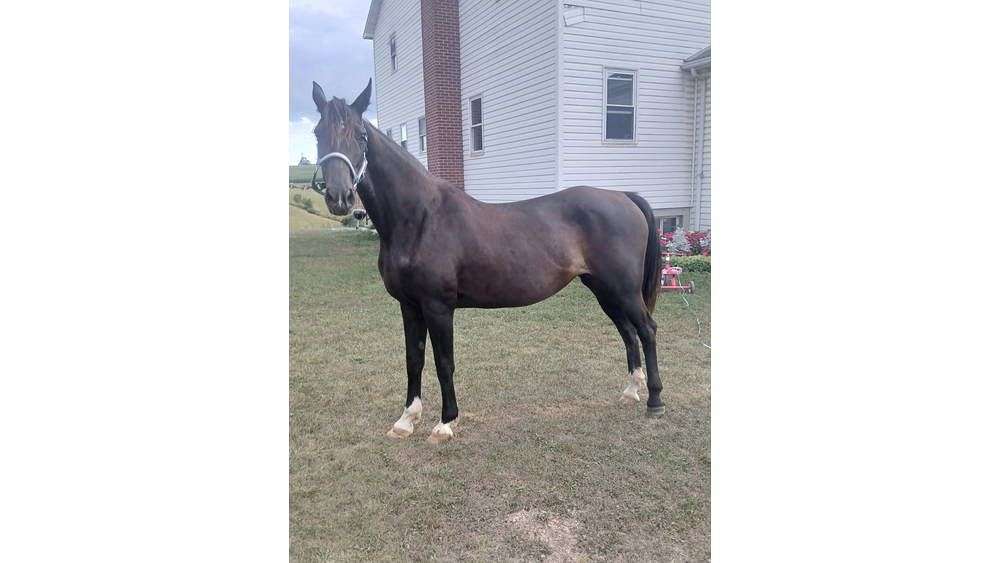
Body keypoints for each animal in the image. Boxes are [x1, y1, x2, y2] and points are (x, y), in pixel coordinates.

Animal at [311, 79, 665, 444]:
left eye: (360, 135)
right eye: (317, 132)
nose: (339, 197)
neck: (420, 218)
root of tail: (623, 196)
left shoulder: (438, 306)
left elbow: (444, 362)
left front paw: (445, 423)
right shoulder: (409, 306)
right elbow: (413, 359)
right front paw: (406, 420)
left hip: (622, 290)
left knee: (647, 330)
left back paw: (654, 400)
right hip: (604, 290)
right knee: (628, 332)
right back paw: (630, 391)